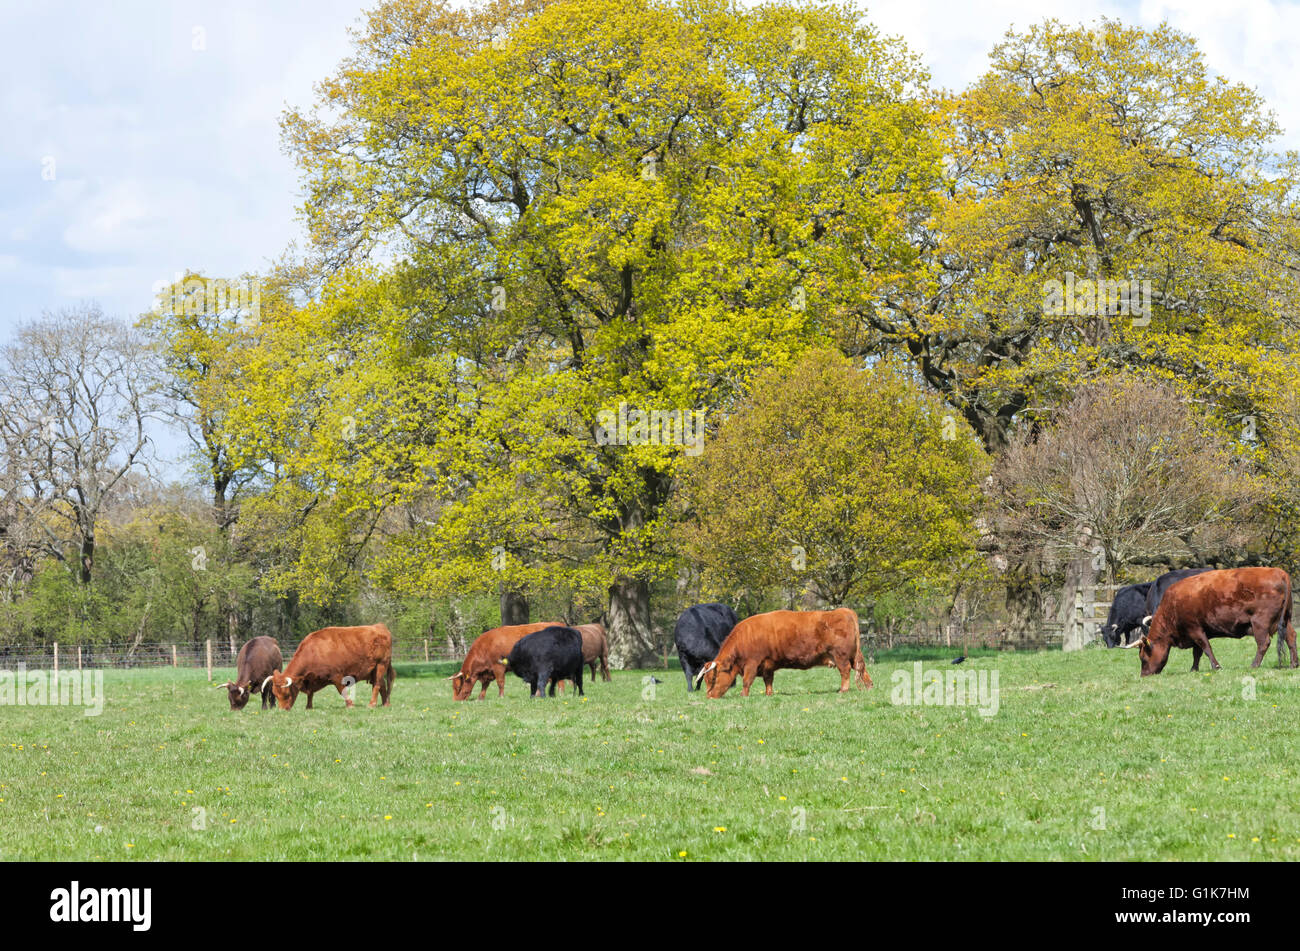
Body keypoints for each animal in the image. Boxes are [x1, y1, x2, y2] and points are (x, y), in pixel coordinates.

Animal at [262, 624, 394, 709]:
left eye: (286, 694)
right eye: (275, 694)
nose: (282, 710)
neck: (313, 651)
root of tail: (379, 626)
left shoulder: (337, 676)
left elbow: (343, 691)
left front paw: (350, 705)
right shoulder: (310, 679)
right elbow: (310, 694)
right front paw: (309, 707)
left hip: (381, 665)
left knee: (377, 685)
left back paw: (372, 704)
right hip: (375, 670)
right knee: (382, 685)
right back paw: (385, 704)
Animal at [695, 608, 872, 698]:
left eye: (712, 678)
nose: (709, 696)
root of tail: (845, 610)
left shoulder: (752, 663)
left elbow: (747, 681)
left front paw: (743, 695)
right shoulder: (767, 665)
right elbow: (768, 680)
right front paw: (769, 694)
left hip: (841, 656)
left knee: (845, 672)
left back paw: (843, 690)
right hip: (853, 656)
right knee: (862, 670)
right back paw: (869, 687)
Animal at [1128, 567, 1299, 676]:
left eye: (1143, 658)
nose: (1144, 675)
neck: (1173, 604)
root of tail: (1279, 572)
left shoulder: (1195, 629)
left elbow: (1205, 648)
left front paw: (1216, 666)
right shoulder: (1196, 631)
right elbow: (1197, 653)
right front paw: (1194, 669)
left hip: (1260, 623)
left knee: (1263, 643)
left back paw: (1254, 665)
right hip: (1286, 620)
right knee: (1291, 637)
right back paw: (1293, 664)